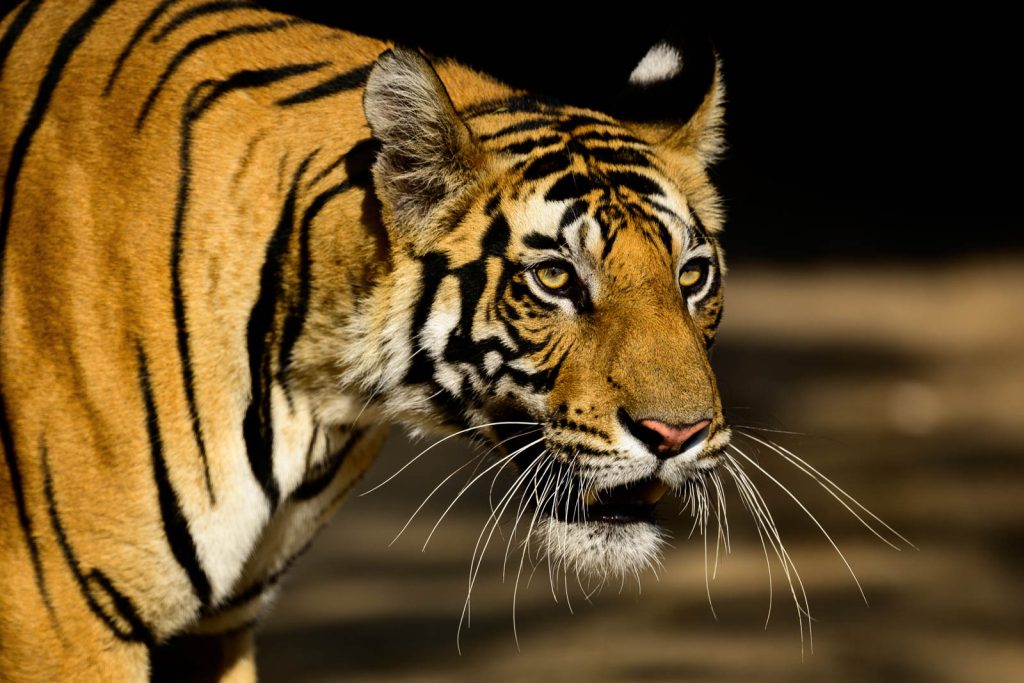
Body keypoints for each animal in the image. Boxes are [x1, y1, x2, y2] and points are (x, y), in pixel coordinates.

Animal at [0, 0, 729, 679]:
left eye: (691, 275)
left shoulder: (218, 624)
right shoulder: (59, 624)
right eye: (555, 276)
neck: (320, 390)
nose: (676, 436)